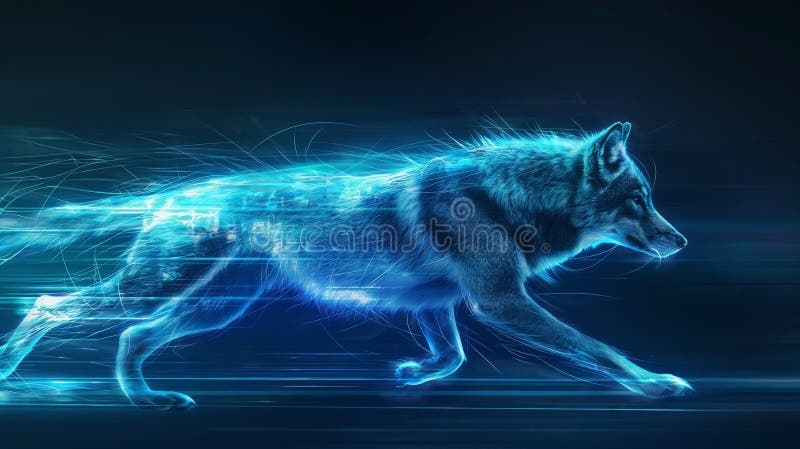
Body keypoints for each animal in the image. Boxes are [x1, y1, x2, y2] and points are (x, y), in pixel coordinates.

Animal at [0, 122, 691, 409]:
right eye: (638, 200)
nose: (681, 242)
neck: (515, 196)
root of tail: (171, 193)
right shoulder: (499, 303)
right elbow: (599, 349)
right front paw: (656, 383)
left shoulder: (439, 306)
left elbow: (452, 357)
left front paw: (412, 375)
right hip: (154, 289)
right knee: (49, 303)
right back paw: (16, 371)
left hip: (213, 308)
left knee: (132, 337)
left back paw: (149, 401)